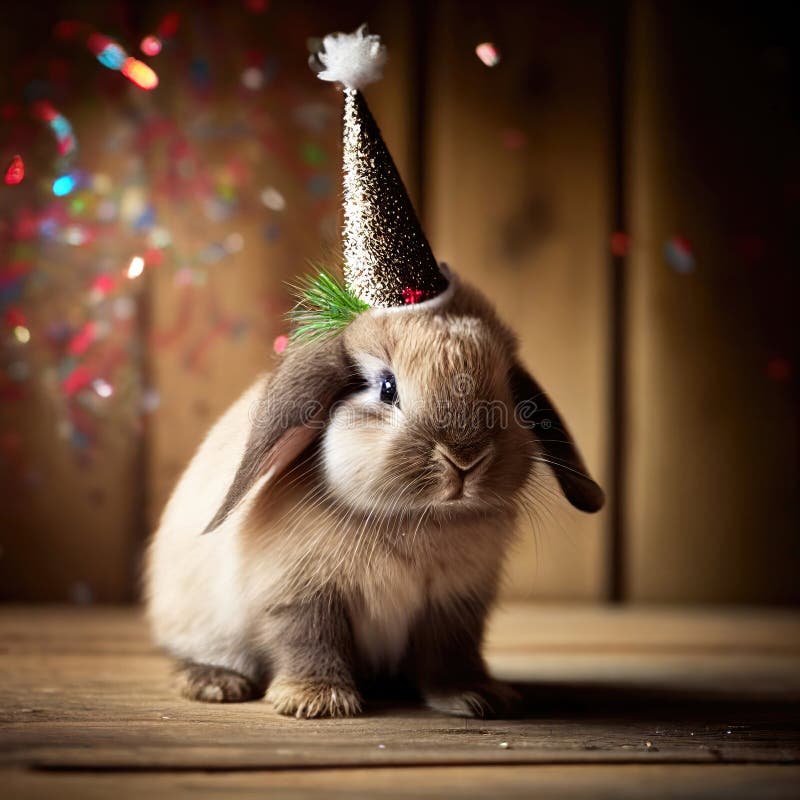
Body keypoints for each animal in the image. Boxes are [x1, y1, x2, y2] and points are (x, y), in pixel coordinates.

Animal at [144, 271, 604, 718]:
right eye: (387, 388)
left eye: (508, 385)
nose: (465, 458)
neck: (415, 518)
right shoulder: (299, 595)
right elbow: (309, 640)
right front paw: (317, 700)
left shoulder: (455, 604)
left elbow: (450, 653)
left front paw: (475, 697)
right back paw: (217, 684)